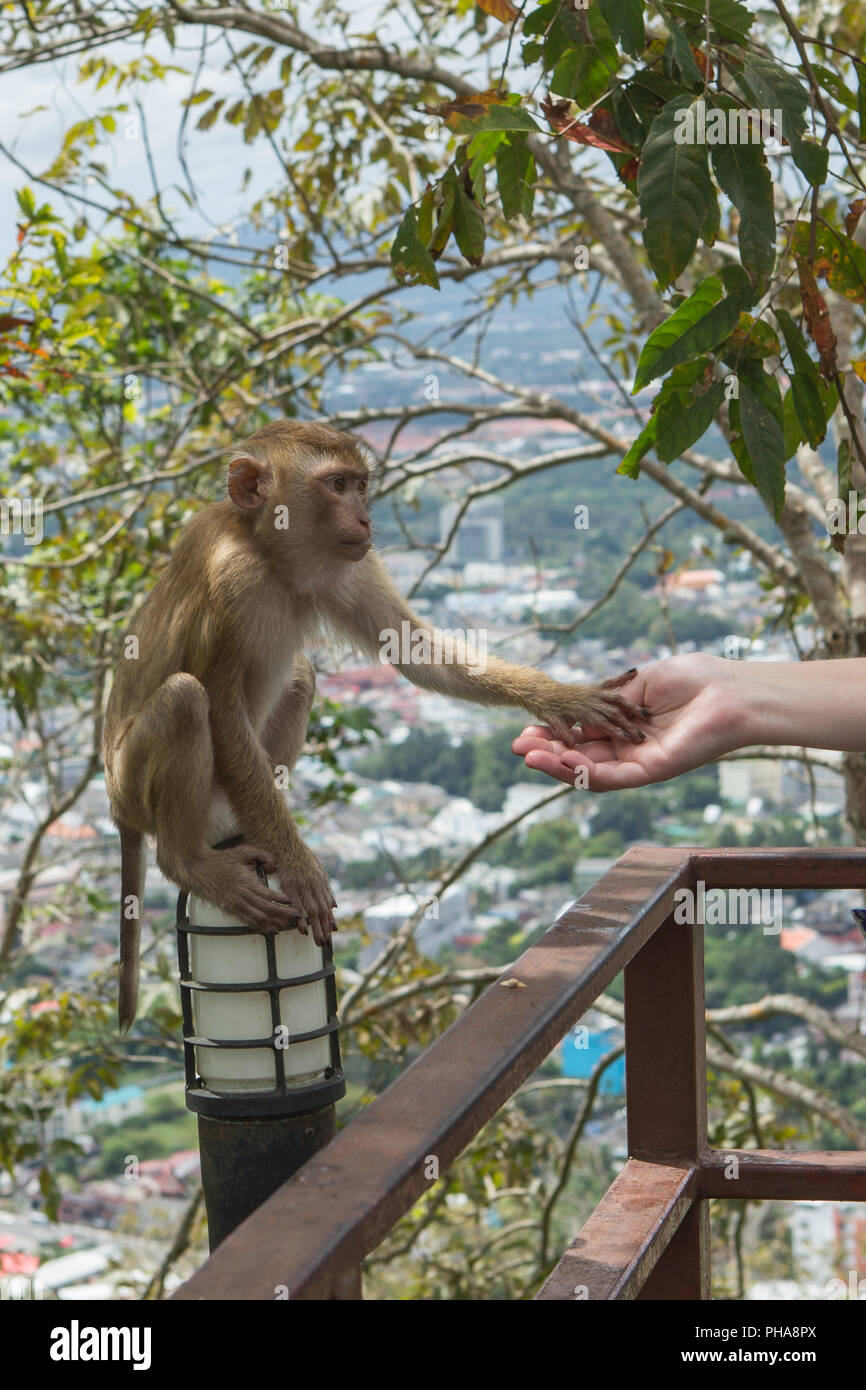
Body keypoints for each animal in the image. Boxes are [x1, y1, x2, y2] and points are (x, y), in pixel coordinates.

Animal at [103, 419, 648, 1032]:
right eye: (337, 485)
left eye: (360, 484)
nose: (365, 518)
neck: (267, 553)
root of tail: (117, 806)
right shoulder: (230, 582)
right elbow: (219, 706)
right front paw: (300, 869)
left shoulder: (352, 563)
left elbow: (418, 652)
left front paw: (564, 698)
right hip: (135, 780)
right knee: (185, 699)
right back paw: (192, 862)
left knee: (299, 676)